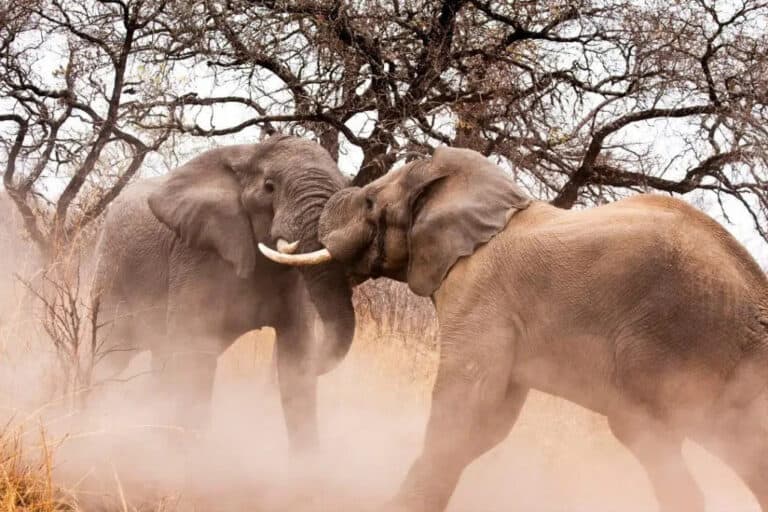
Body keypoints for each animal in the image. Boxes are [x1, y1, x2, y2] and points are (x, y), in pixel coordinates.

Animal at [91, 135, 355, 449]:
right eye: (269, 187)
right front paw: (183, 457)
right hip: (112, 276)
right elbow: (194, 354)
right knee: (111, 356)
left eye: (344, 188)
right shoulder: (195, 255)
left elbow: (296, 355)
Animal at [260, 146, 768, 511]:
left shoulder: (480, 292)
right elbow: (490, 423)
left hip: (672, 343)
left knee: (645, 433)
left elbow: (465, 406)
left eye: (370, 203)